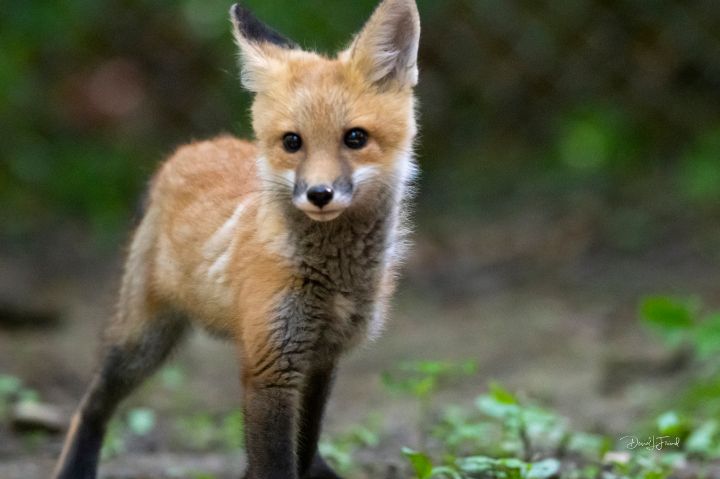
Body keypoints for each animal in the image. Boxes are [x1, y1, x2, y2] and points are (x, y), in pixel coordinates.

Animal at [52, 0, 420, 478]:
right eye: (293, 142)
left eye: (355, 138)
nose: (319, 194)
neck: (333, 279)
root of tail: (189, 148)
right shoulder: (270, 366)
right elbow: (276, 463)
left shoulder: (321, 361)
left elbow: (303, 449)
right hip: (141, 339)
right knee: (92, 405)